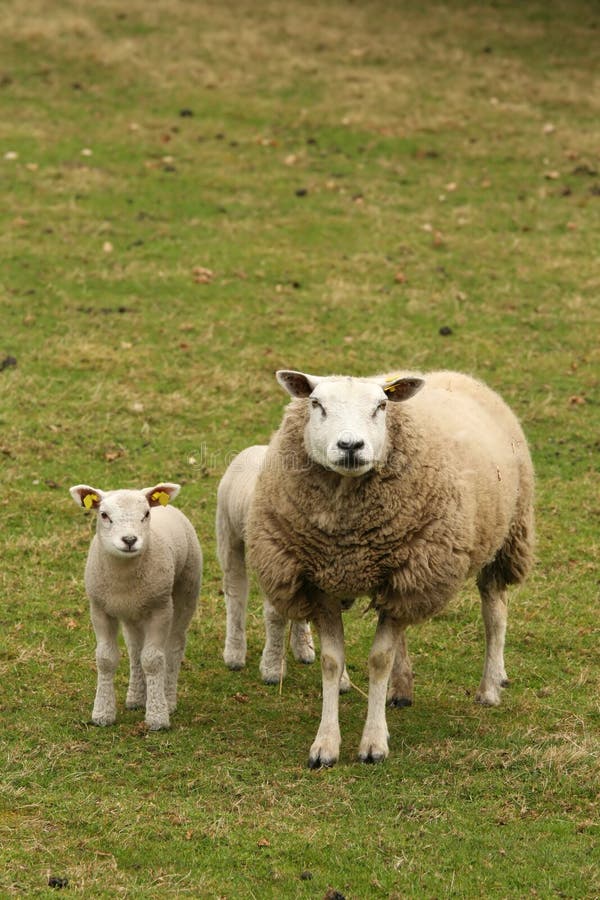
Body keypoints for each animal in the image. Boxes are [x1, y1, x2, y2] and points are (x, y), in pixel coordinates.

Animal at [69, 482, 202, 730]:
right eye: (104, 515)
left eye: (146, 514)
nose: (130, 540)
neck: (123, 578)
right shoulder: (99, 609)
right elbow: (106, 659)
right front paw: (102, 714)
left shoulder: (160, 609)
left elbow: (153, 660)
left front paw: (157, 716)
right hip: (133, 612)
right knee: (134, 648)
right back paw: (137, 697)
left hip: (186, 589)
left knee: (174, 645)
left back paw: (168, 699)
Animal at [246, 369, 535, 767]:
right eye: (317, 404)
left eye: (381, 407)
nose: (350, 446)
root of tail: (453, 374)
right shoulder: (321, 583)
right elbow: (332, 662)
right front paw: (325, 745)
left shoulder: (407, 572)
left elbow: (379, 658)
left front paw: (373, 743)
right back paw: (401, 689)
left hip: (502, 539)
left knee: (495, 614)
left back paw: (490, 686)